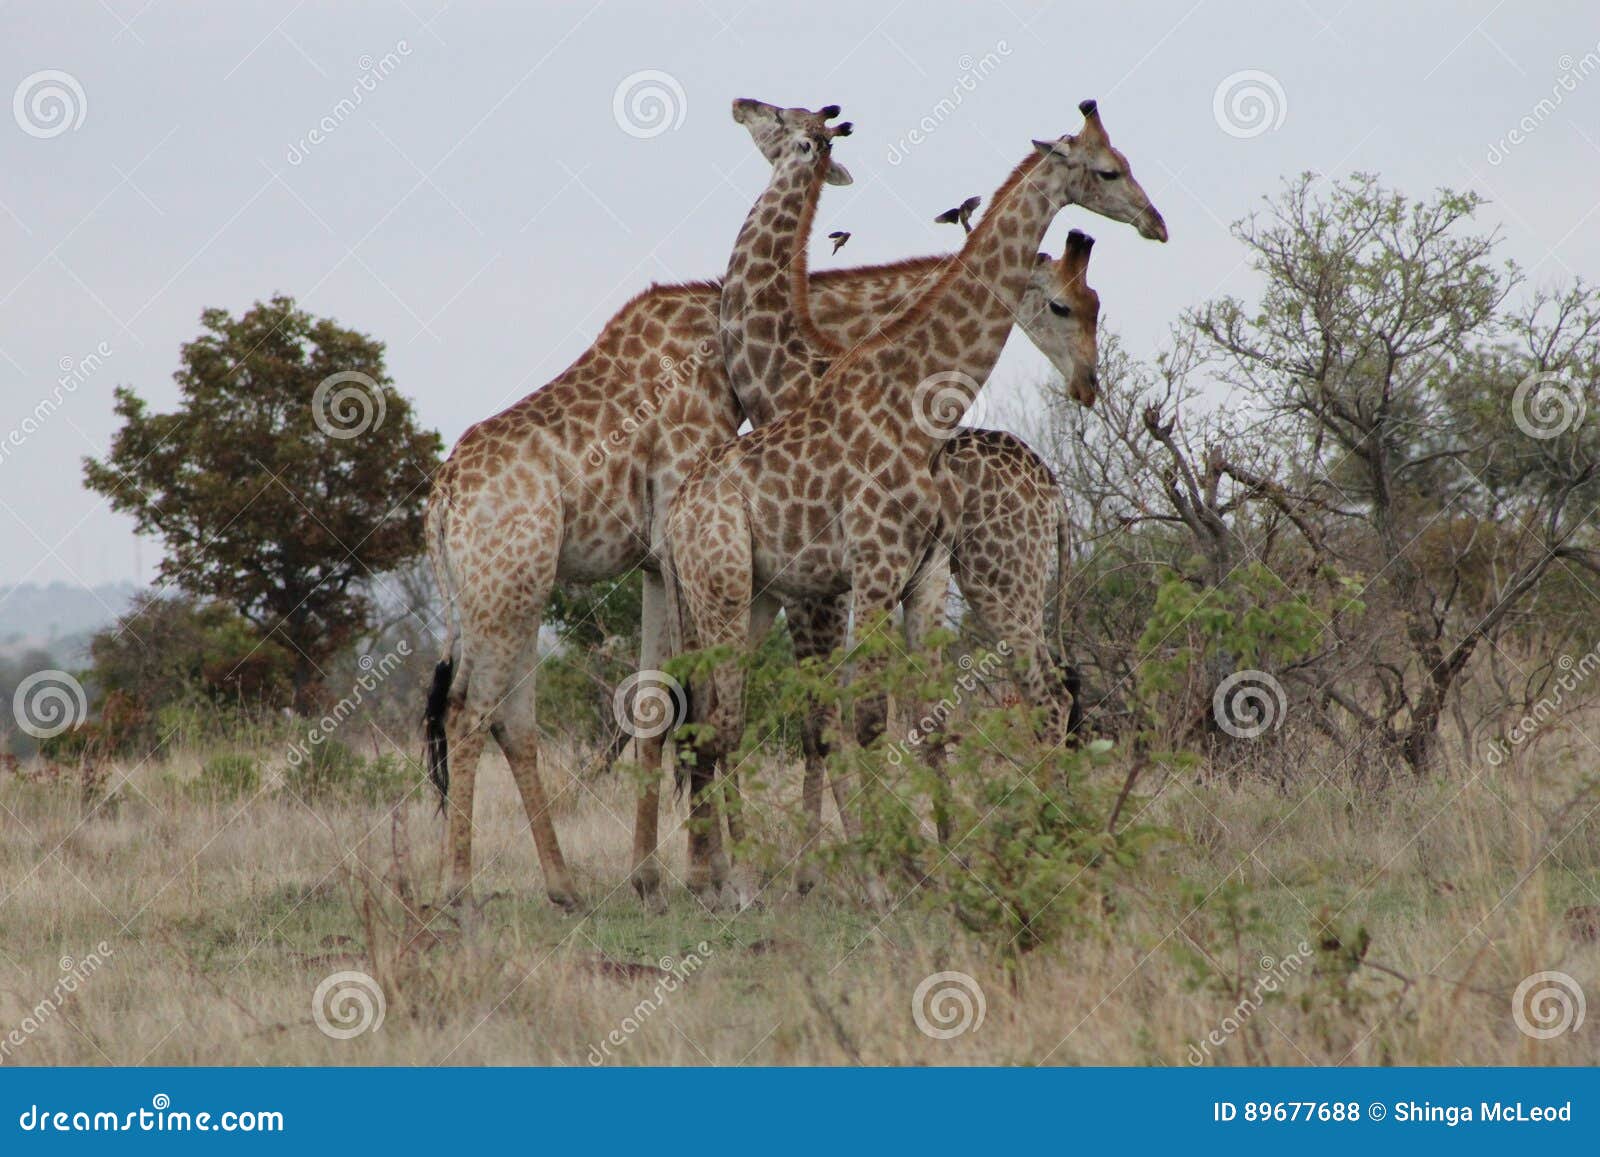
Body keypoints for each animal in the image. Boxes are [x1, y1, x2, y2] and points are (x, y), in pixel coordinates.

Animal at [664, 100, 1167, 899]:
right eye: (1108, 169)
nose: (1157, 223)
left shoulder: (904, 572)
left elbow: (888, 717)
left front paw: (896, 863)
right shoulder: (863, 571)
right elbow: (862, 718)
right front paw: (872, 868)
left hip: (936, 587)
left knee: (1047, 694)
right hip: (727, 586)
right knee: (721, 716)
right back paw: (731, 877)